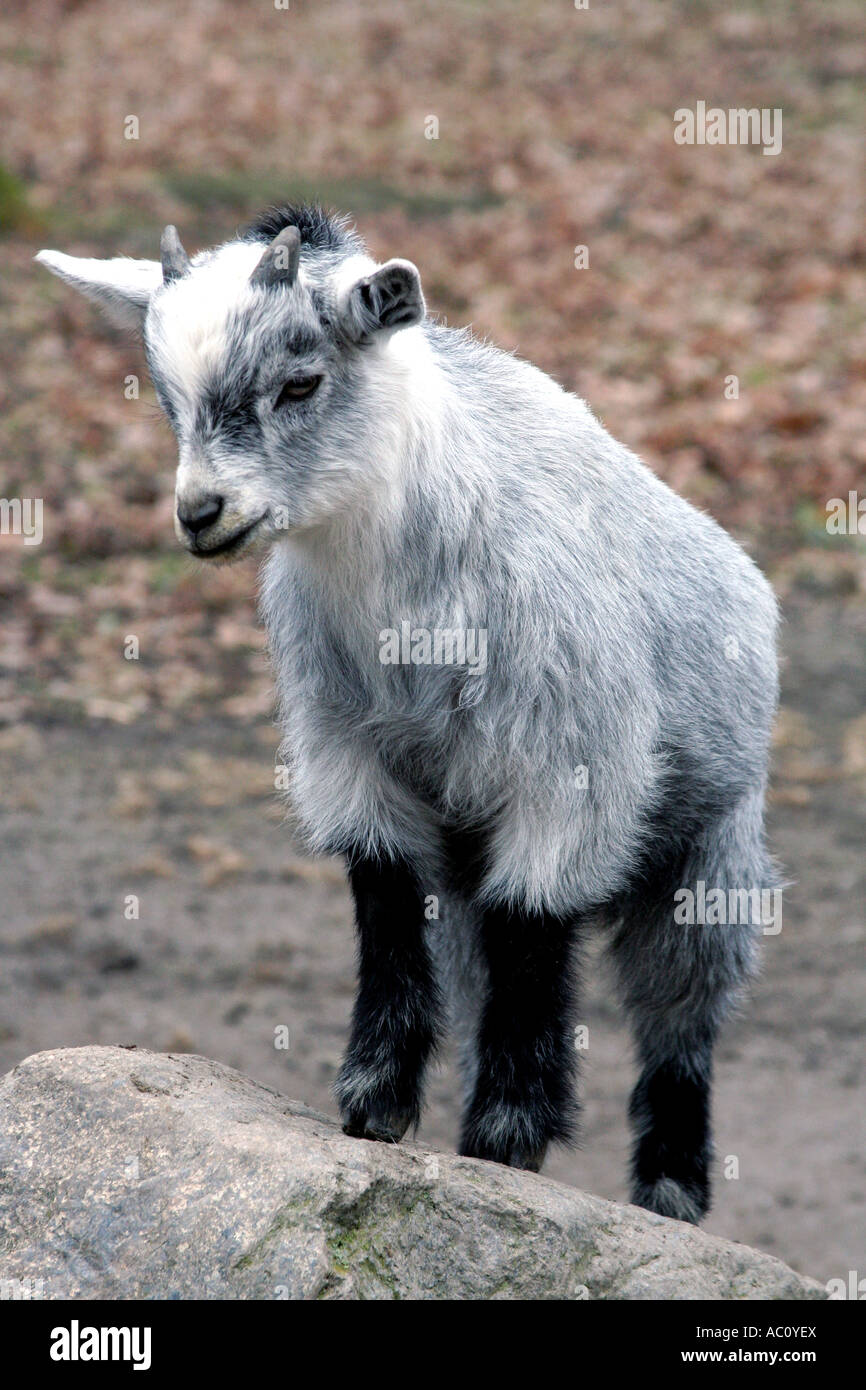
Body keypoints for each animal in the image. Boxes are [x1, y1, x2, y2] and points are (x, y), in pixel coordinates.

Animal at [36, 204, 780, 1222]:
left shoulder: (570, 770)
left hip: (709, 855)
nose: (200, 513)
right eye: (164, 398)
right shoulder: (349, 757)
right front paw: (376, 1106)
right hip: (473, 860)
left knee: (680, 1017)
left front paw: (506, 1136)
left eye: (301, 381)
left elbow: (533, 929)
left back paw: (671, 1185)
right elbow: (387, 904)